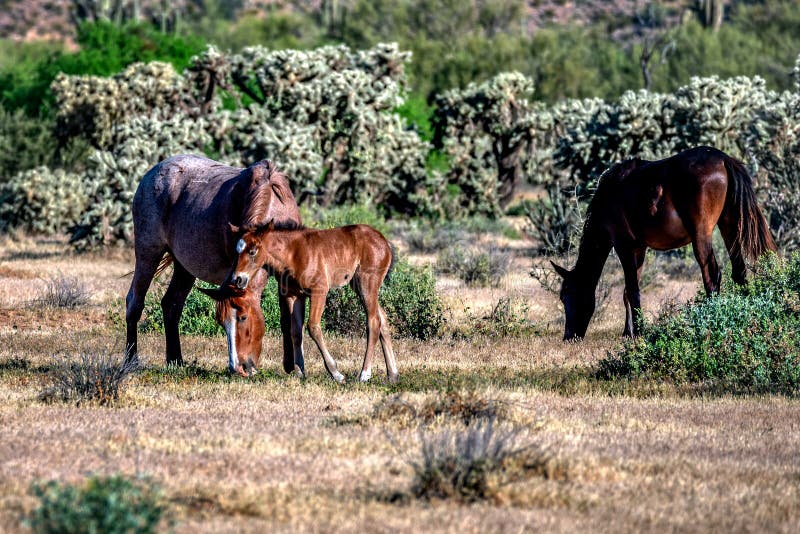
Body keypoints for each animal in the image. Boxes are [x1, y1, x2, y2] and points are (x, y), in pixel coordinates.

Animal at [125, 155, 305, 373]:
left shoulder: (287, 274)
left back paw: (176, 361)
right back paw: (131, 361)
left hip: (184, 267)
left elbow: (288, 320)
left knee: (171, 305)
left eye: (244, 317)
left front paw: (293, 366)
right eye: (221, 322)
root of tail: (152, 173)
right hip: (148, 253)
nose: (237, 368)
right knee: (134, 302)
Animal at [204, 222, 399, 384]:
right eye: (237, 252)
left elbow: (313, 327)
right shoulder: (294, 295)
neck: (292, 254)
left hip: (367, 283)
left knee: (373, 321)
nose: (237, 279)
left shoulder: (319, 290)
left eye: (252, 251)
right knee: (383, 318)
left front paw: (336, 373)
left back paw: (364, 374)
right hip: (358, 285)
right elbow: (295, 331)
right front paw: (299, 371)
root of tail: (385, 242)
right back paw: (392, 374)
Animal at [551, 146, 776, 340]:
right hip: (729, 225)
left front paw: (639, 332)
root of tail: (722, 159)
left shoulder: (623, 245)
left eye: (566, 295)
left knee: (712, 275)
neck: (608, 196)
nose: (568, 337)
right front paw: (627, 332)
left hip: (701, 235)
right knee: (739, 271)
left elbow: (632, 290)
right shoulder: (639, 249)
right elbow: (627, 292)